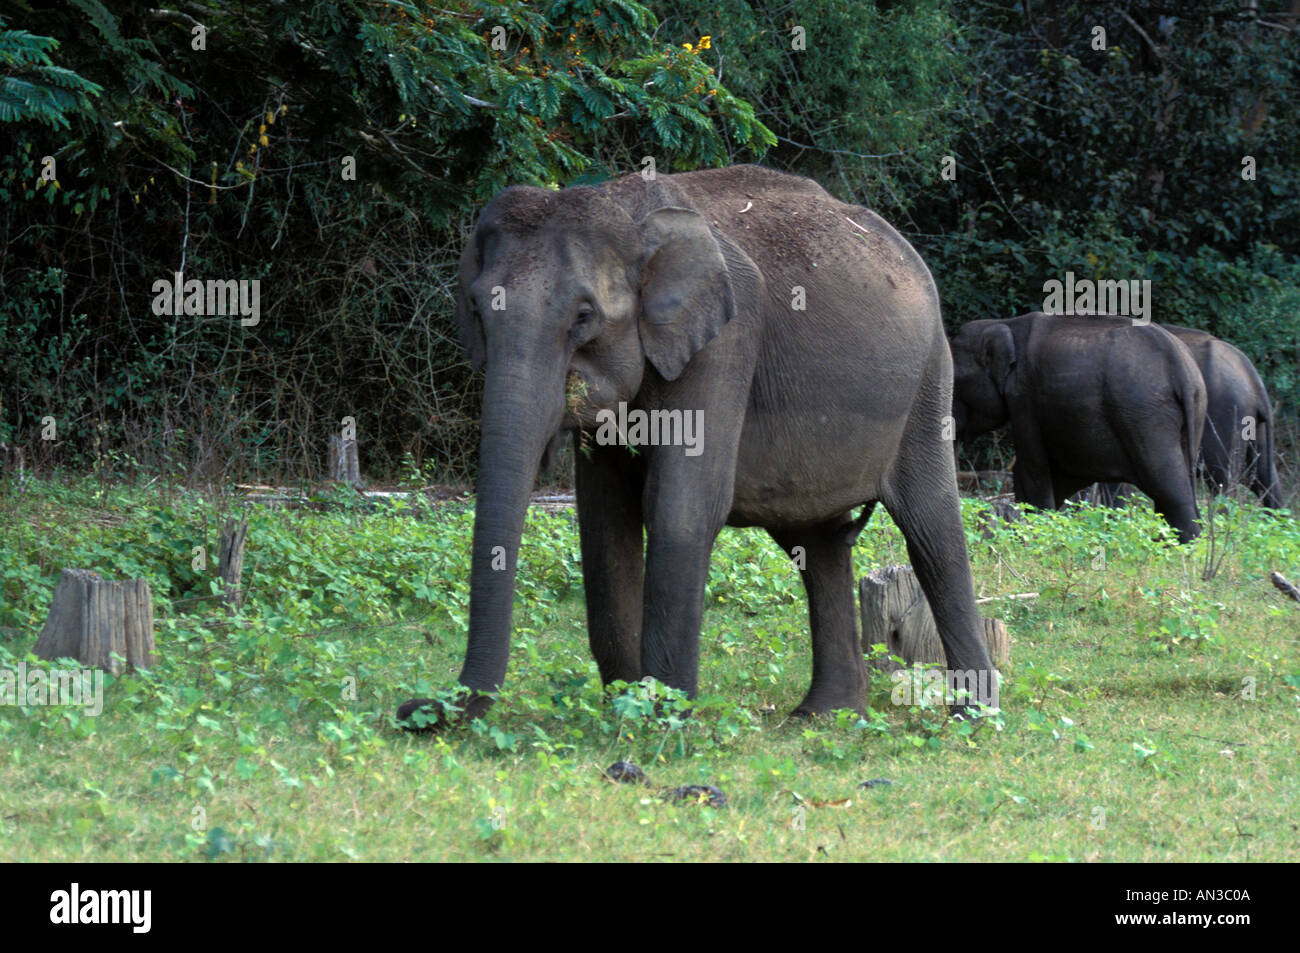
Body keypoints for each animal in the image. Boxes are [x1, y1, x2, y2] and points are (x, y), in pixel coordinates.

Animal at [397, 163, 995, 728]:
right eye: (477, 311)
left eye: (584, 316)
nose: (412, 710)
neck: (627, 208)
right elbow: (604, 520)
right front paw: (626, 707)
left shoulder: (726, 339)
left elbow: (680, 505)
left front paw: (659, 717)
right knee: (817, 543)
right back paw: (824, 715)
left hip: (929, 378)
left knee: (930, 527)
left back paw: (971, 717)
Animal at [949, 312, 1208, 543]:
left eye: (956, 383)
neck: (1006, 323)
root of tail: (1182, 370)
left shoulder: (1023, 399)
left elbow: (1032, 468)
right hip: (1193, 411)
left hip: (1147, 416)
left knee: (1169, 491)